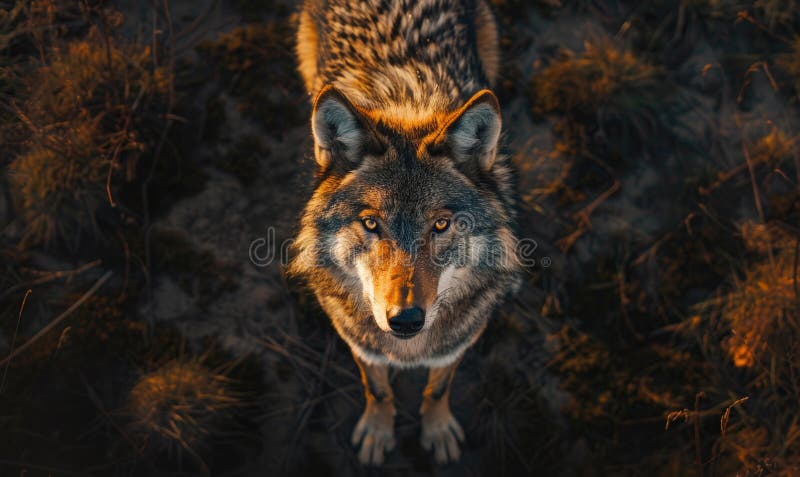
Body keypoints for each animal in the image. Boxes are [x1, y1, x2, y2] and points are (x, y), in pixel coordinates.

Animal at [290, 0, 521, 465]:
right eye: (370, 223)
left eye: (441, 224)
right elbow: (378, 391)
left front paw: (437, 430)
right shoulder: (360, 343)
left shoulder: (458, 343)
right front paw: (378, 432)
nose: (405, 320)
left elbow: (437, 389)